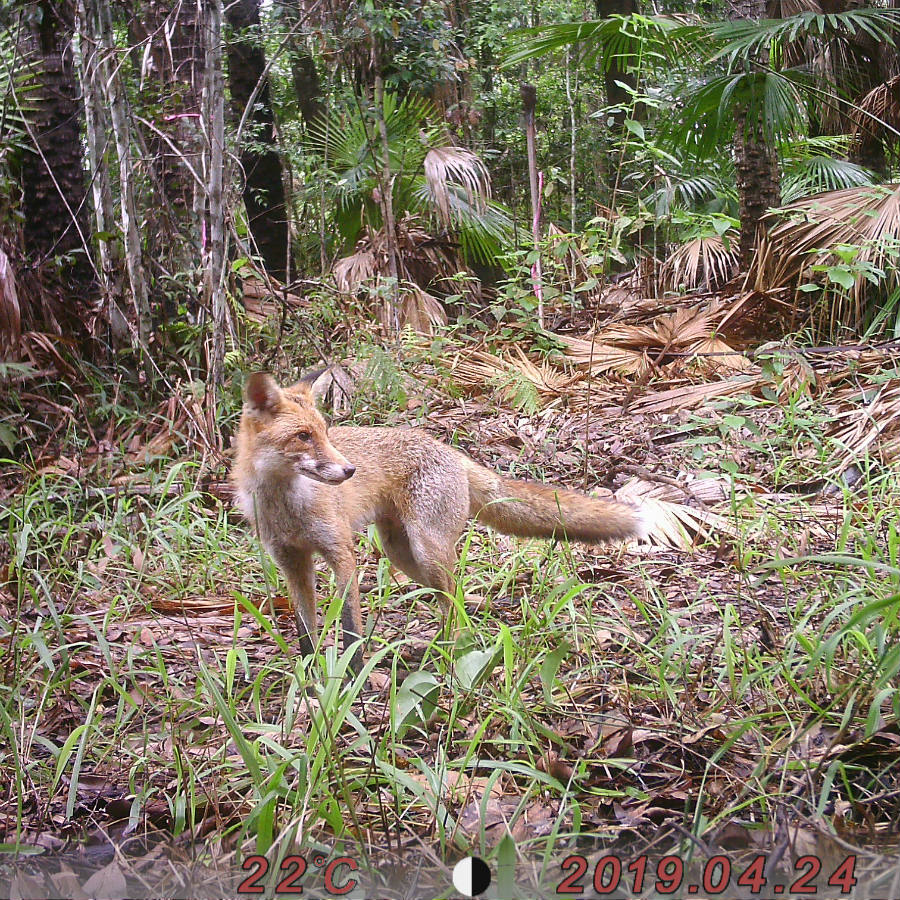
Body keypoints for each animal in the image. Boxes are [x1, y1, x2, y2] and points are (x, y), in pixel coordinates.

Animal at [231, 371, 647, 672]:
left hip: (426, 550)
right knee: (449, 599)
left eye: (325, 433)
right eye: (303, 436)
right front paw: (310, 680)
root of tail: (452, 450)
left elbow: (350, 629)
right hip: (403, 555)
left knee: (456, 598)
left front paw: (353, 681)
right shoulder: (291, 561)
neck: (287, 507)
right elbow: (306, 633)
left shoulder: (341, 553)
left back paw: (454, 654)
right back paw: (441, 648)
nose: (350, 470)